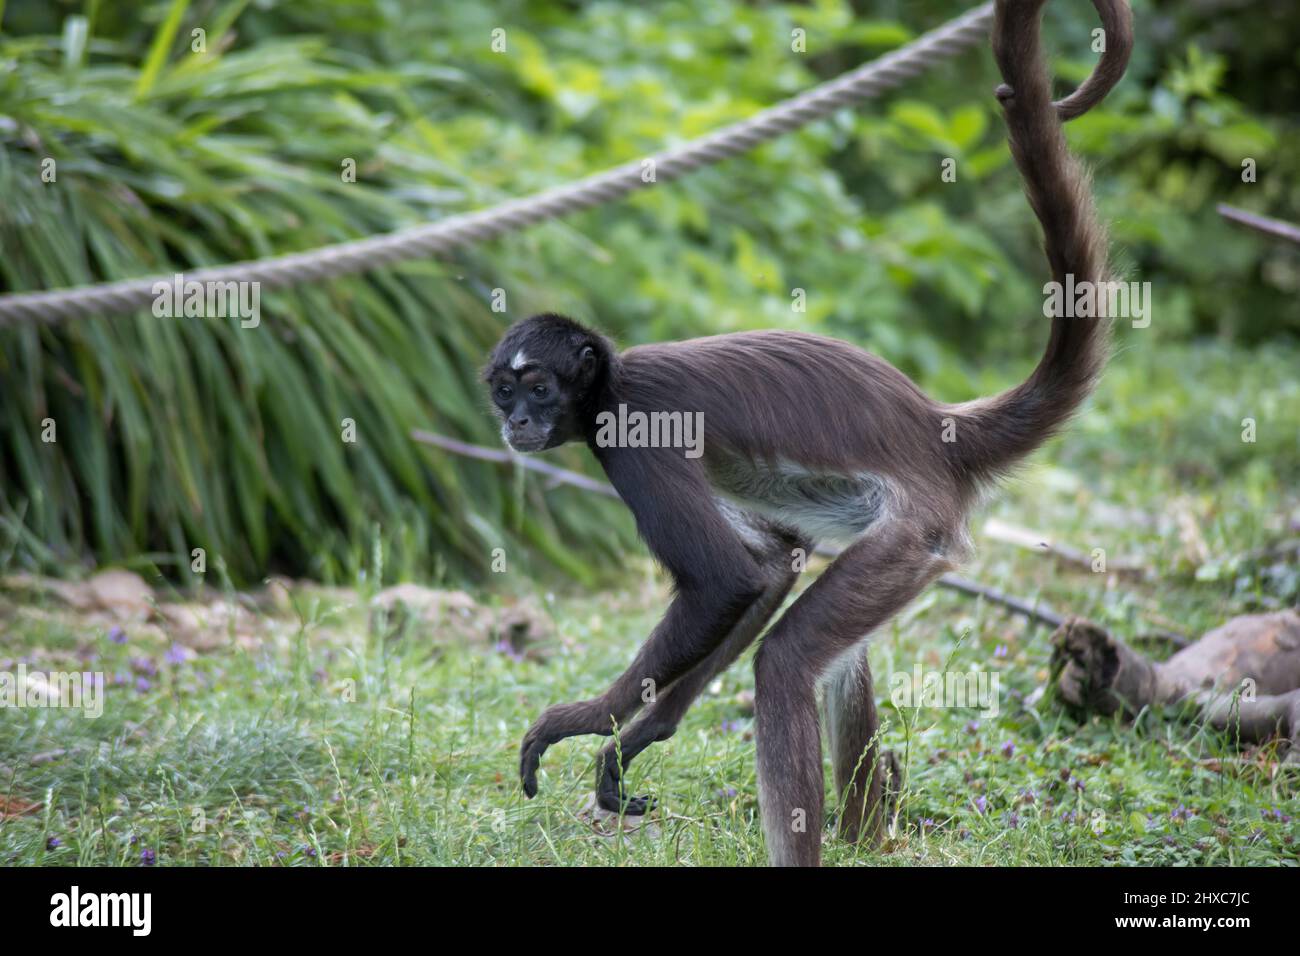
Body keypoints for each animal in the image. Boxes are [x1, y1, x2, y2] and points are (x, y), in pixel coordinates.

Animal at [481, 0, 1132, 865]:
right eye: (502, 390)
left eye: (541, 388)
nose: (518, 421)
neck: (612, 379)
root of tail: (937, 426)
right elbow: (768, 566)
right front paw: (640, 734)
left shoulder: (634, 434)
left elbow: (723, 580)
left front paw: (587, 718)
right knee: (836, 658)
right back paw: (866, 838)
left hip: (915, 537)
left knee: (788, 663)